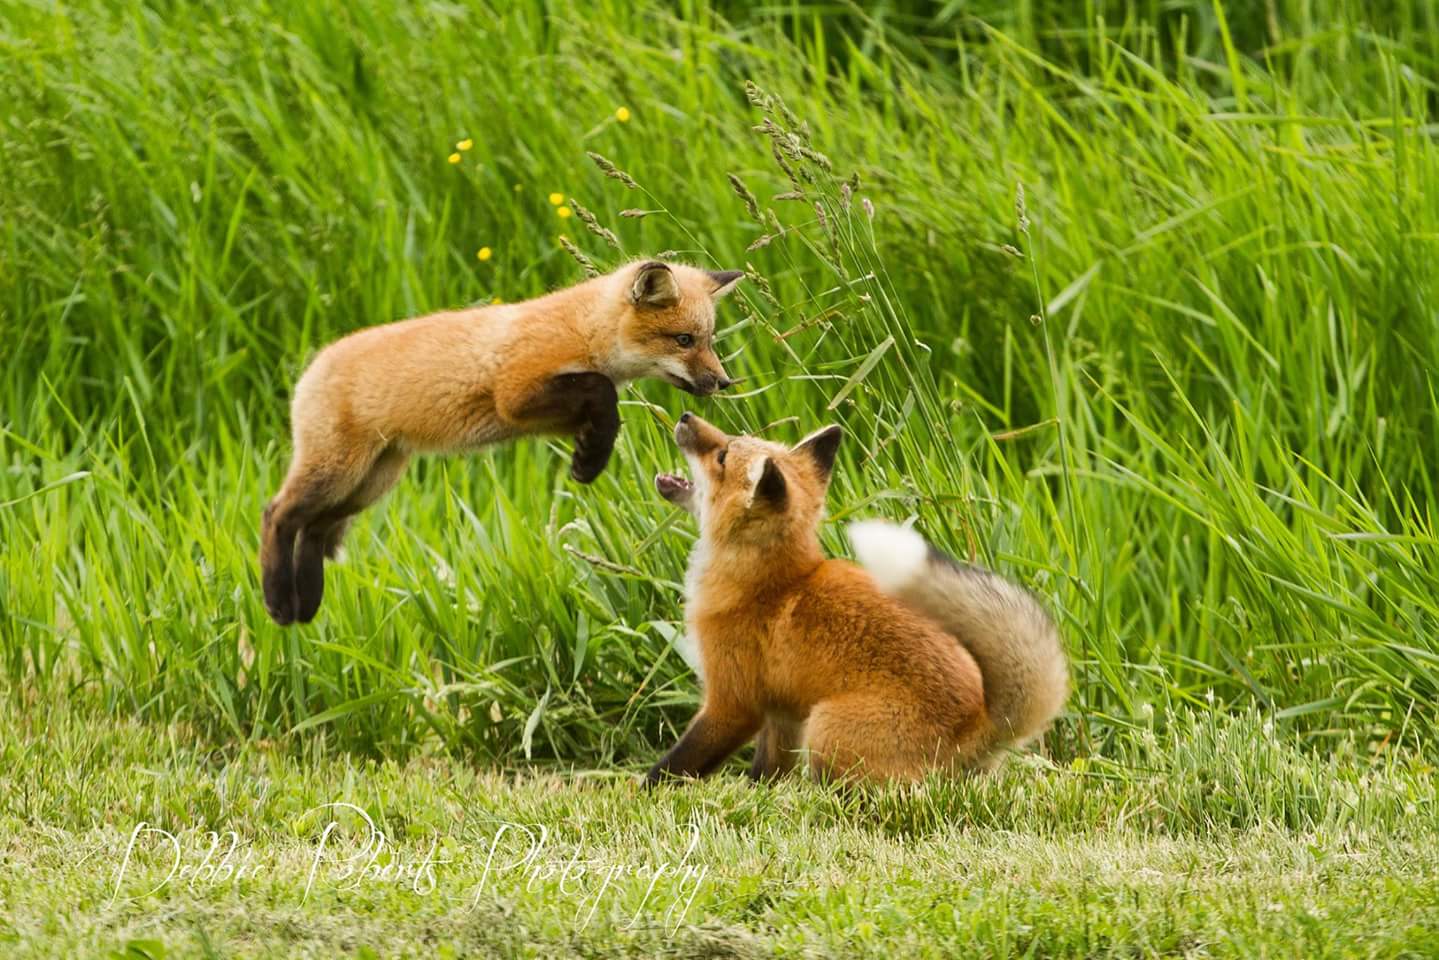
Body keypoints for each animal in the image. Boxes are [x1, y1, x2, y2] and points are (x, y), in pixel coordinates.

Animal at [260, 260, 743, 626]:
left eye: (708, 340)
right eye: (684, 340)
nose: (723, 382)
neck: (581, 331)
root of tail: (314, 363)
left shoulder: (544, 417)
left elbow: (601, 405)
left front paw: (588, 456)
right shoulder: (513, 394)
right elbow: (603, 389)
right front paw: (589, 463)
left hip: (370, 483)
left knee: (313, 527)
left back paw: (307, 600)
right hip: (339, 473)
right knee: (277, 513)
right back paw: (279, 601)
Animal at [647, 412, 1068, 785]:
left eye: (723, 455)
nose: (685, 416)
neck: (770, 584)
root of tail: (978, 724)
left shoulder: (733, 703)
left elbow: (677, 763)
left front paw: (646, 793)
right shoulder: (782, 713)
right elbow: (767, 772)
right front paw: (758, 796)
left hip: (825, 726)